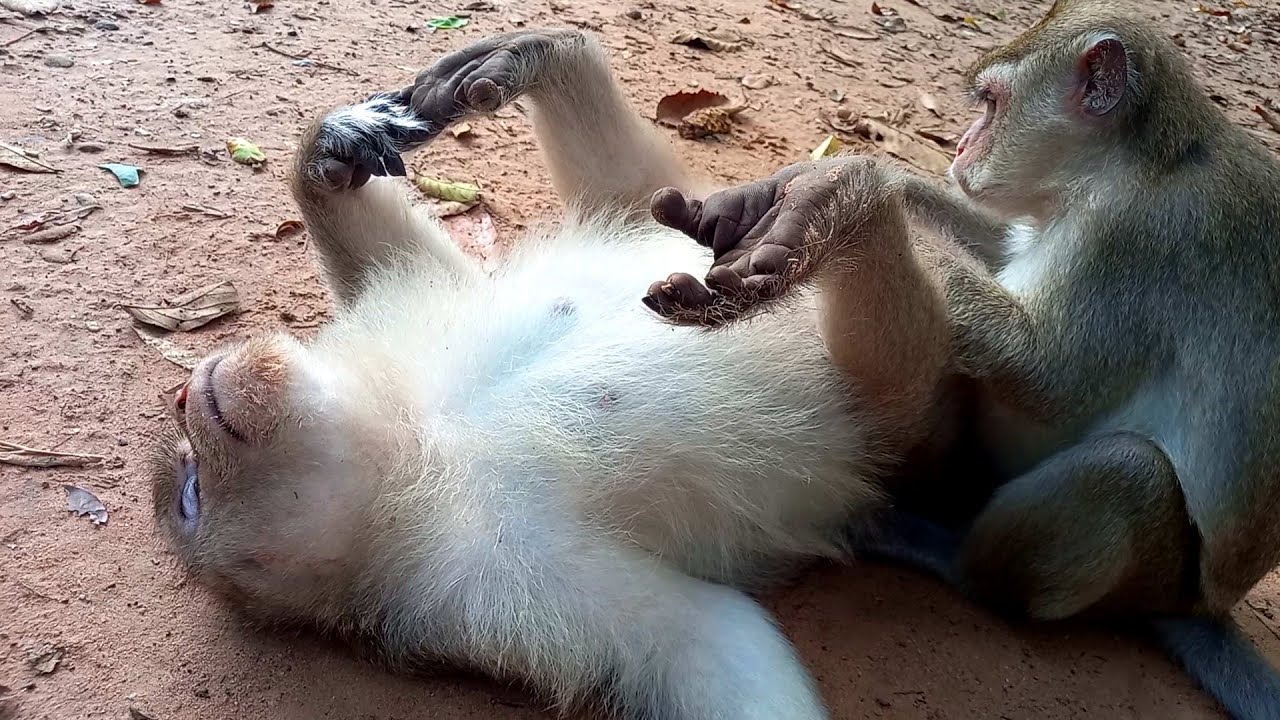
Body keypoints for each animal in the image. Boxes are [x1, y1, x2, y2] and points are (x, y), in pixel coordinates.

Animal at [149, 29, 955, 720]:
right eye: (191, 496)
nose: (186, 394)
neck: (415, 434)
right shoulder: (491, 583)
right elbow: (718, 646)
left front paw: (326, 157)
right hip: (883, 418)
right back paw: (846, 214)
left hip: (667, 222)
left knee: (653, 204)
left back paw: (551, 60)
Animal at [641, 1, 1280, 717]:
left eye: (992, 104)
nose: (960, 146)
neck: (1135, 163)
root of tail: (1203, 607)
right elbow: (1002, 245)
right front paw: (812, 182)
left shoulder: (1137, 238)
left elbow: (1051, 376)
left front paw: (844, 197)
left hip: (1159, 576)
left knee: (1128, 470)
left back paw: (951, 559)